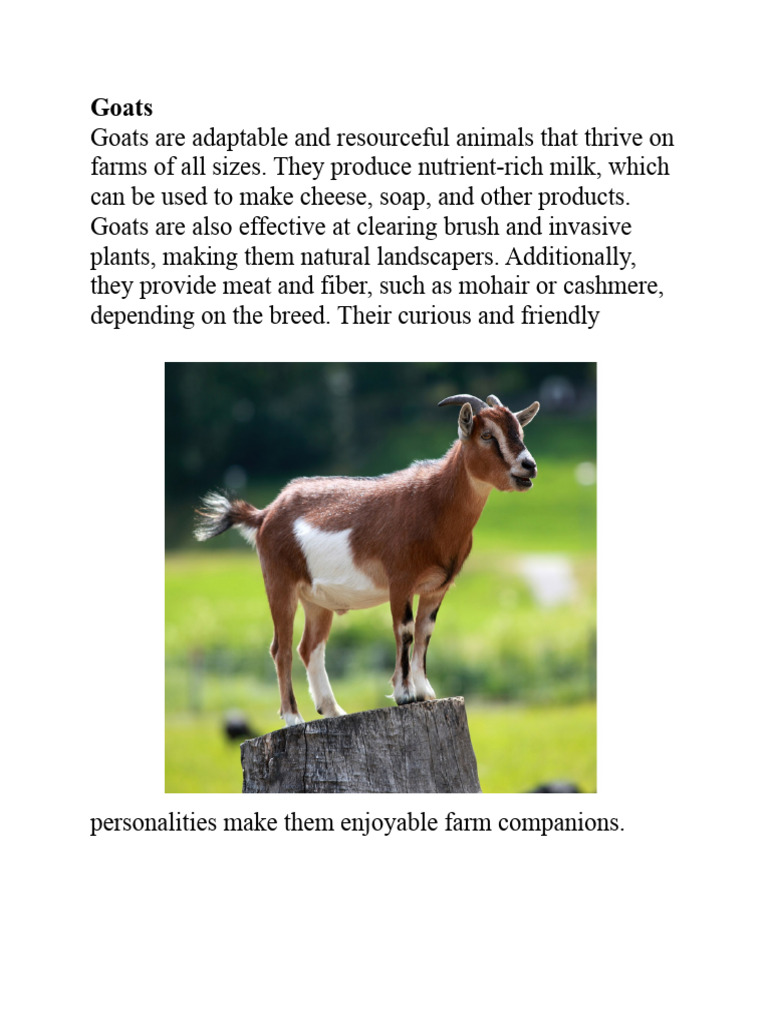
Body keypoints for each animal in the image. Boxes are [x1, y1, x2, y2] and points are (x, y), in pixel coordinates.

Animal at [194, 393, 540, 726]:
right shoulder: (400, 580)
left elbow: (425, 631)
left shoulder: (437, 587)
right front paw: (404, 694)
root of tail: (264, 514)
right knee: (281, 649)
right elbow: (405, 630)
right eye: (487, 435)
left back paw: (332, 710)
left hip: (316, 600)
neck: (433, 503)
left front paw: (426, 692)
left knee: (309, 647)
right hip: (279, 583)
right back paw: (293, 717)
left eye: (520, 432)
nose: (529, 466)